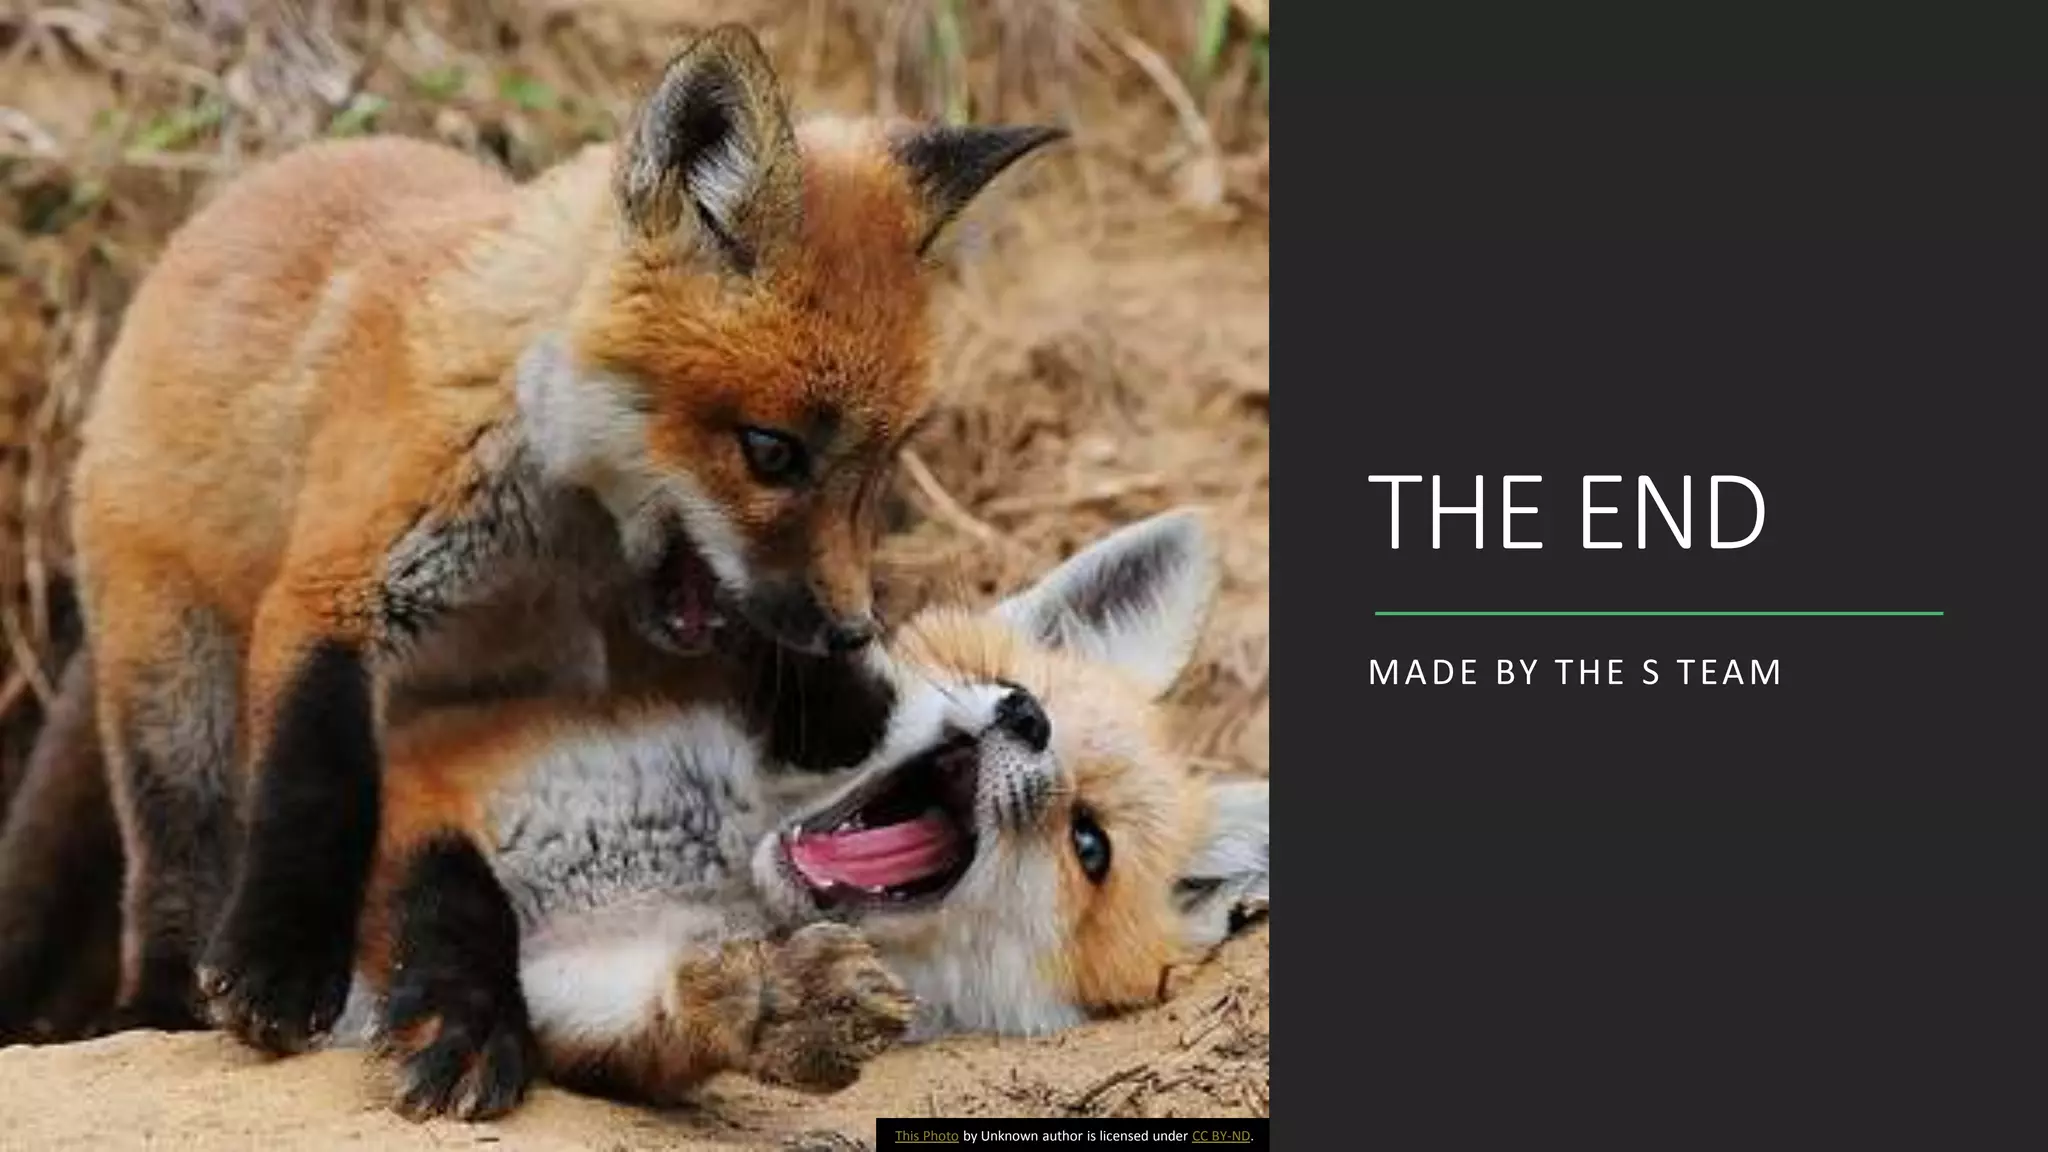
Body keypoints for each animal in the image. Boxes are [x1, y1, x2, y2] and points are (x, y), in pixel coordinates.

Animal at [59, 19, 1062, 1065]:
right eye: (771, 451)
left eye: (883, 469)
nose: (850, 631)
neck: (550, 544)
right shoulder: (338, 585)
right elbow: (319, 788)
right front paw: (281, 964)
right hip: (178, 699)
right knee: (175, 858)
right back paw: (159, 994)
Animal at [333, 509, 1270, 1117]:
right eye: (1015, 686)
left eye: (1090, 844)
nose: (1024, 717)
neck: (704, 871)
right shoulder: (432, 779)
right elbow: (457, 904)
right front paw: (464, 1020)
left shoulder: (579, 972)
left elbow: (642, 1022)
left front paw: (772, 1007)